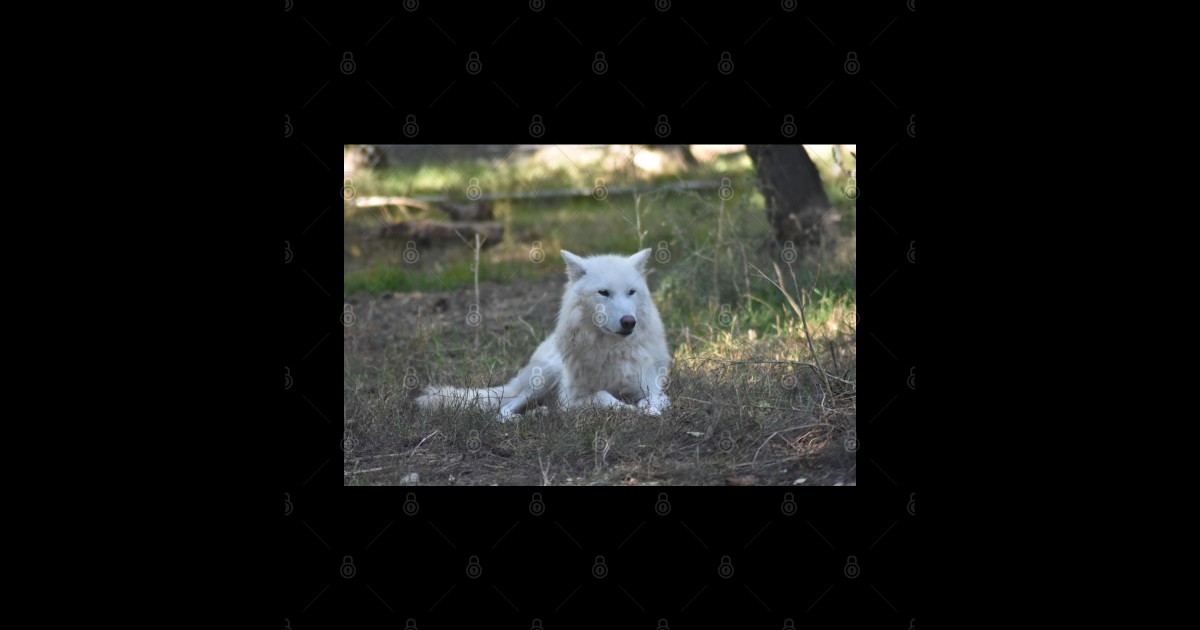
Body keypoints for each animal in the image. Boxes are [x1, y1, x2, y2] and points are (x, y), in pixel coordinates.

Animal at [415, 249, 671, 420]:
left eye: (631, 292)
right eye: (604, 293)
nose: (629, 322)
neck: (611, 351)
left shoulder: (650, 386)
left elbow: (656, 400)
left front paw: (649, 410)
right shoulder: (572, 399)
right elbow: (605, 396)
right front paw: (629, 409)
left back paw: (540, 412)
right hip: (546, 375)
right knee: (503, 410)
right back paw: (523, 417)